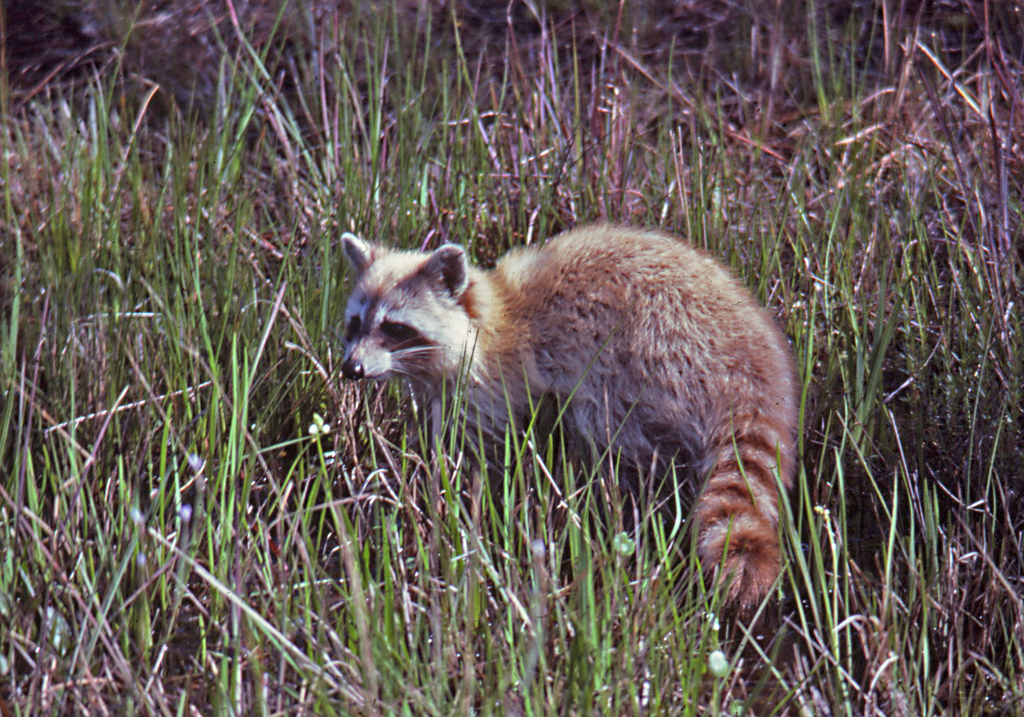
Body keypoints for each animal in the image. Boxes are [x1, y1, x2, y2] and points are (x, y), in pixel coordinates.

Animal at [340, 224, 798, 611]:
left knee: (611, 434)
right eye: (355, 323)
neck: (487, 313)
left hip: (650, 359)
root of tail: (751, 365)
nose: (351, 369)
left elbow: (478, 461)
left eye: (395, 328)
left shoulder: (491, 386)